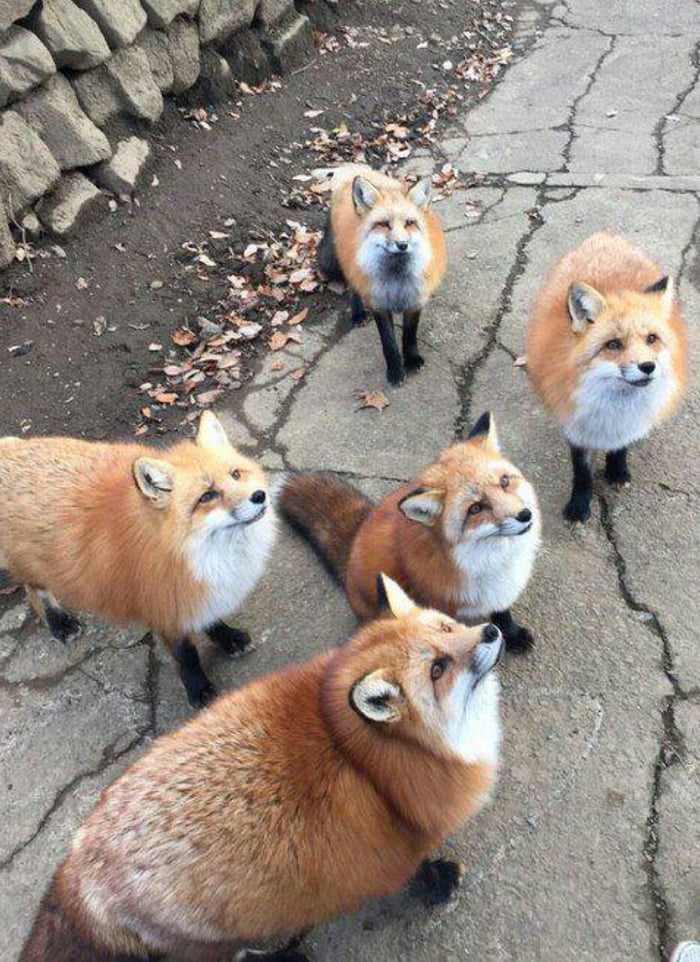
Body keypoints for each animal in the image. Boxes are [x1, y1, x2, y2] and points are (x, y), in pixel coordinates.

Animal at [0, 411, 275, 707]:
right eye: (207, 496)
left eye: (236, 474)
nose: (259, 496)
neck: (194, 553)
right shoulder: (164, 604)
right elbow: (187, 657)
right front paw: (199, 691)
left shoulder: (195, 593)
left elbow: (211, 620)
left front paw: (228, 638)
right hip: (33, 563)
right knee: (34, 590)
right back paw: (58, 623)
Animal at [21, 574, 503, 962]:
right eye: (438, 668)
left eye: (446, 627)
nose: (493, 629)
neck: (365, 756)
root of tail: (76, 864)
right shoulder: (394, 847)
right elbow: (416, 874)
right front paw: (439, 884)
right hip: (222, 940)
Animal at [279, 411, 541, 652]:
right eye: (476, 508)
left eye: (504, 481)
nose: (525, 515)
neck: (489, 560)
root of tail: (355, 540)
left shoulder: (499, 590)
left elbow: (502, 614)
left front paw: (513, 635)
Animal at [316, 164, 447, 385]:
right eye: (384, 224)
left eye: (410, 223)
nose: (402, 244)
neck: (396, 279)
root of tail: (355, 169)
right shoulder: (378, 302)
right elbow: (389, 344)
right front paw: (395, 371)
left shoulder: (415, 299)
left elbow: (409, 335)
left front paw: (411, 359)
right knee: (353, 287)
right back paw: (358, 314)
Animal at [526, 232, 687, 523]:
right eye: (613, 345)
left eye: (651, 339)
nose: (648, 366)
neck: (615, 406)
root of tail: (606, 235)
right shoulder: (575, 422)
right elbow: (581, 472)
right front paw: (579, 503)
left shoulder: (628, 423)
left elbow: (621, 447)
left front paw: (617, 471)